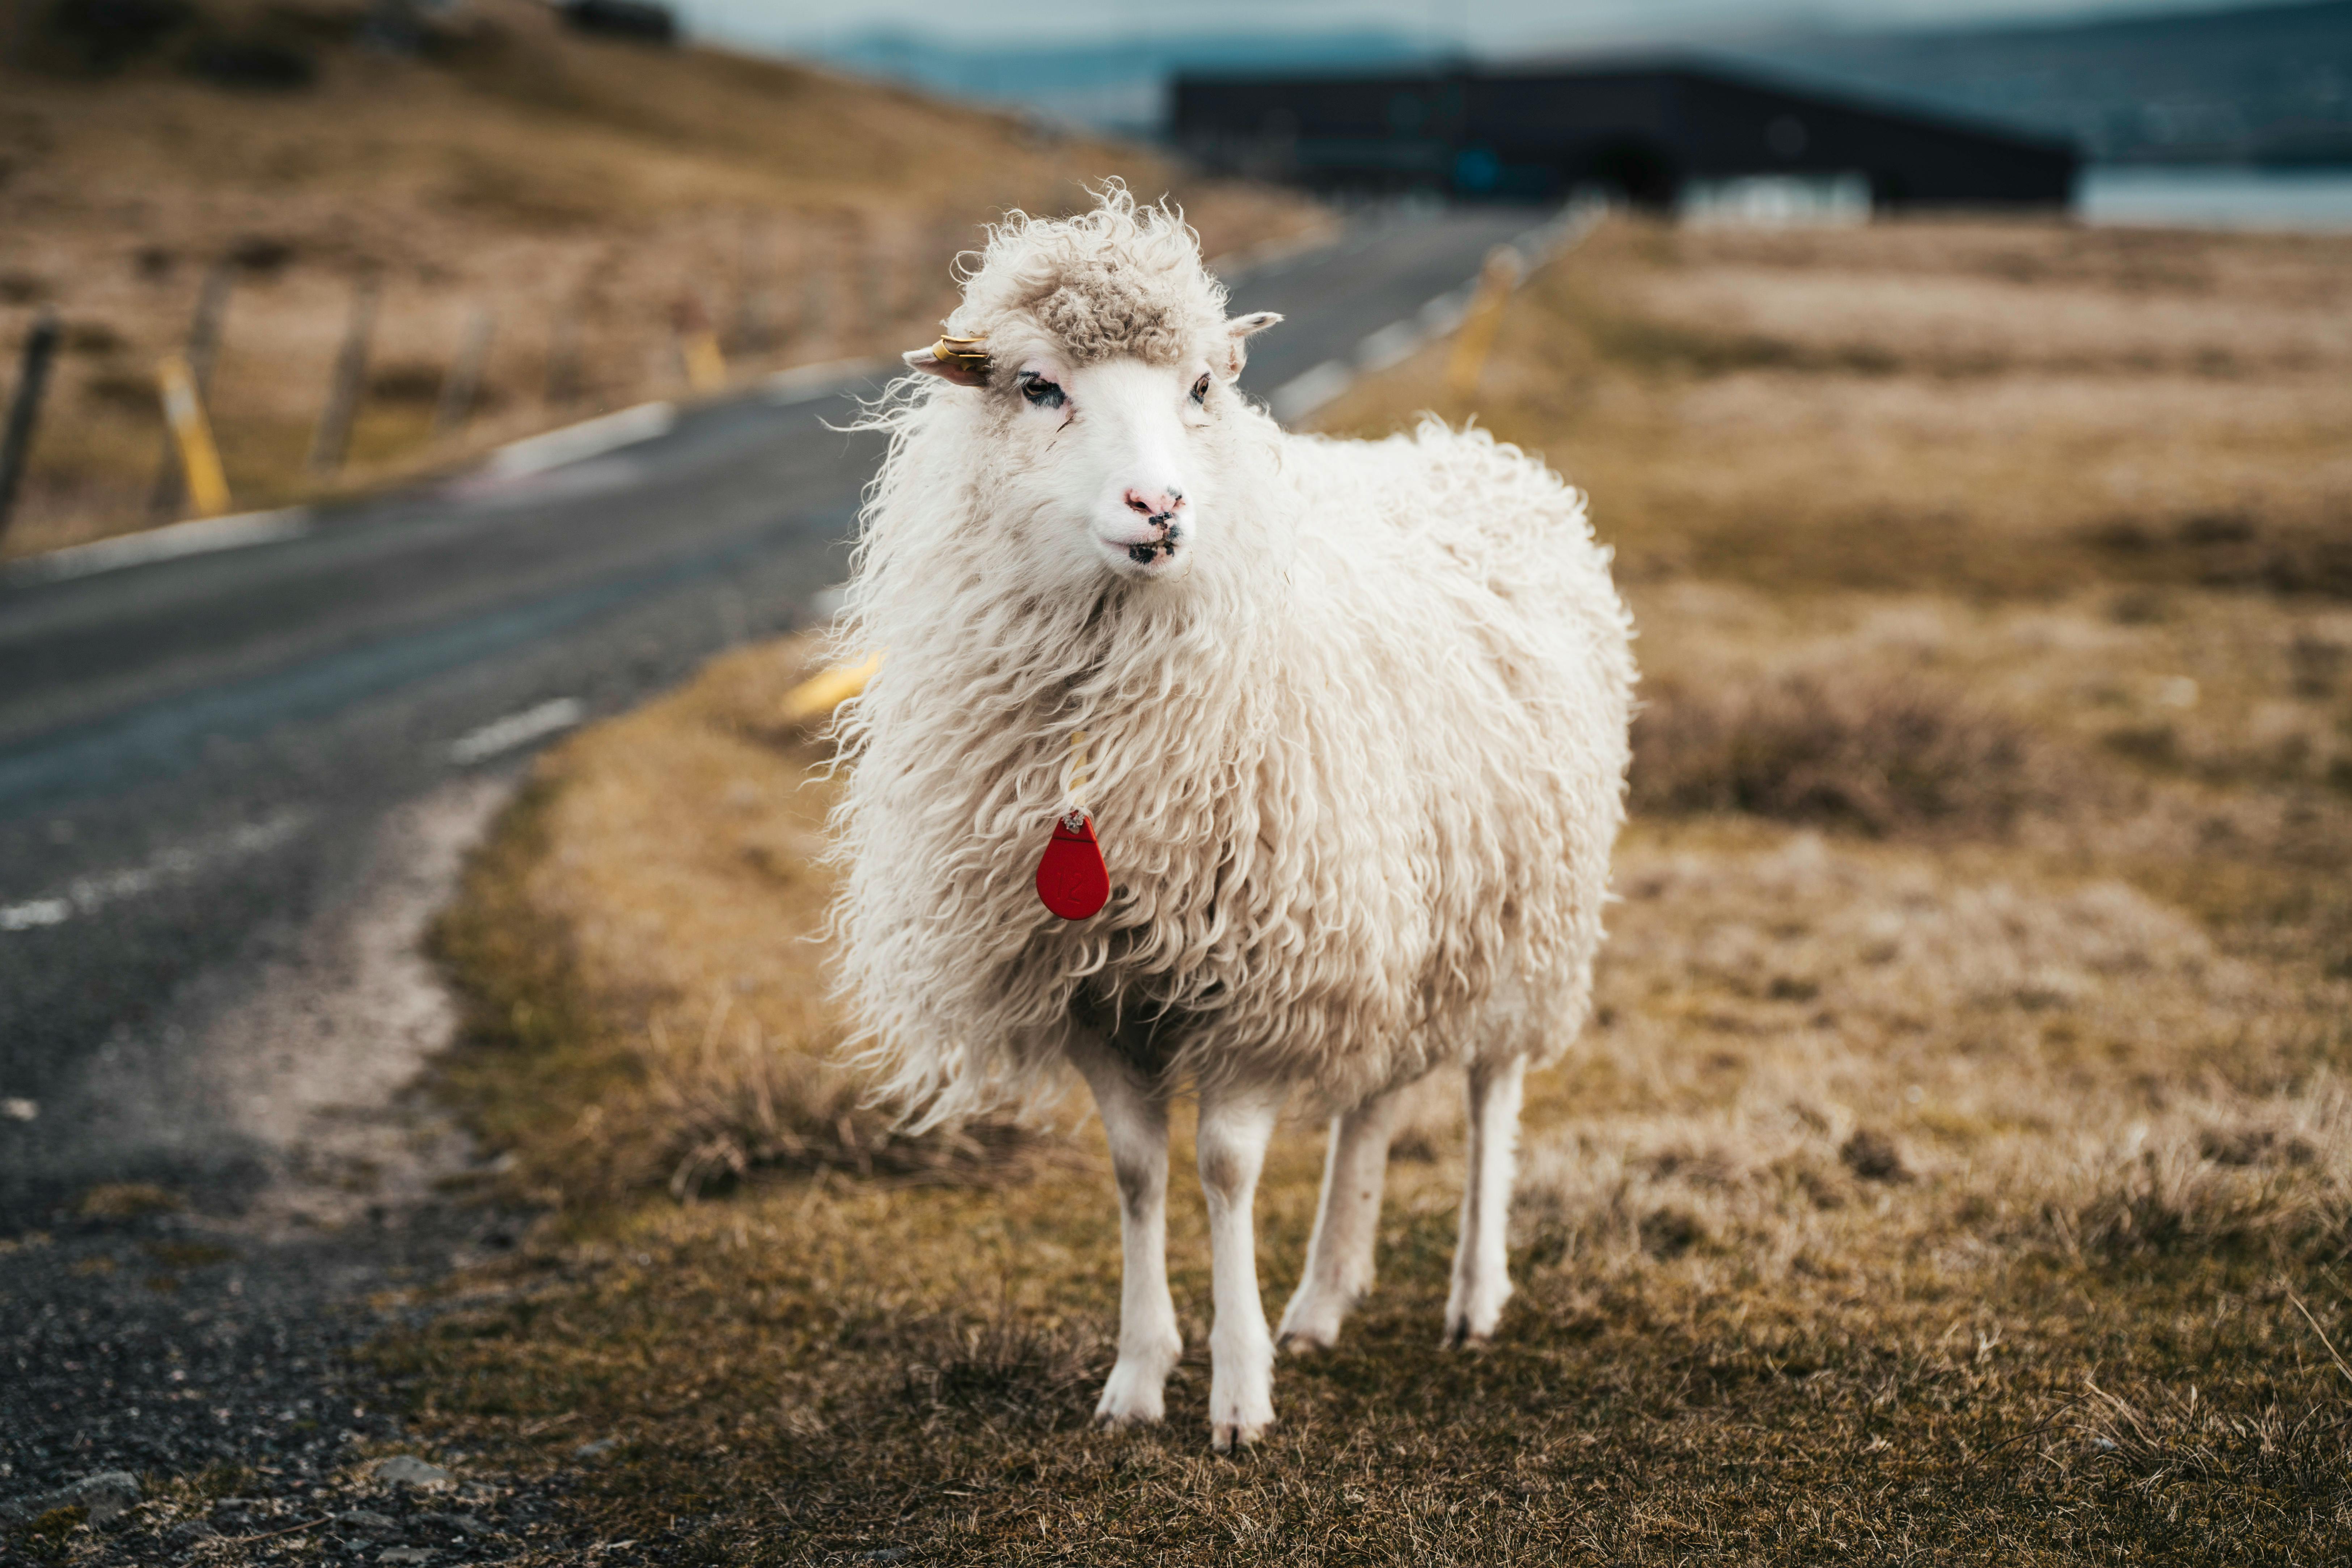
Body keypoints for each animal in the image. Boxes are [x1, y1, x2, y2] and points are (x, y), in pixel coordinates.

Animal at [827, 184, 1634, 1451]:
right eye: (1037, 385)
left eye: (1203, 386)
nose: (1159, 505)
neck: (1100, 749)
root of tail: (1471, 452)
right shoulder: (1094, 987)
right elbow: (1138, 1171)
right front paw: (1137, 1376)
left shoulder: (1263, 973)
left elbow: (1223, 1169)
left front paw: (1239, 1391)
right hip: (1403, 910)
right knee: (1374, 1102)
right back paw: (1326, 1293)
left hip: (1521, 914)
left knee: (1488, 1089)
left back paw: (1472, 1292)